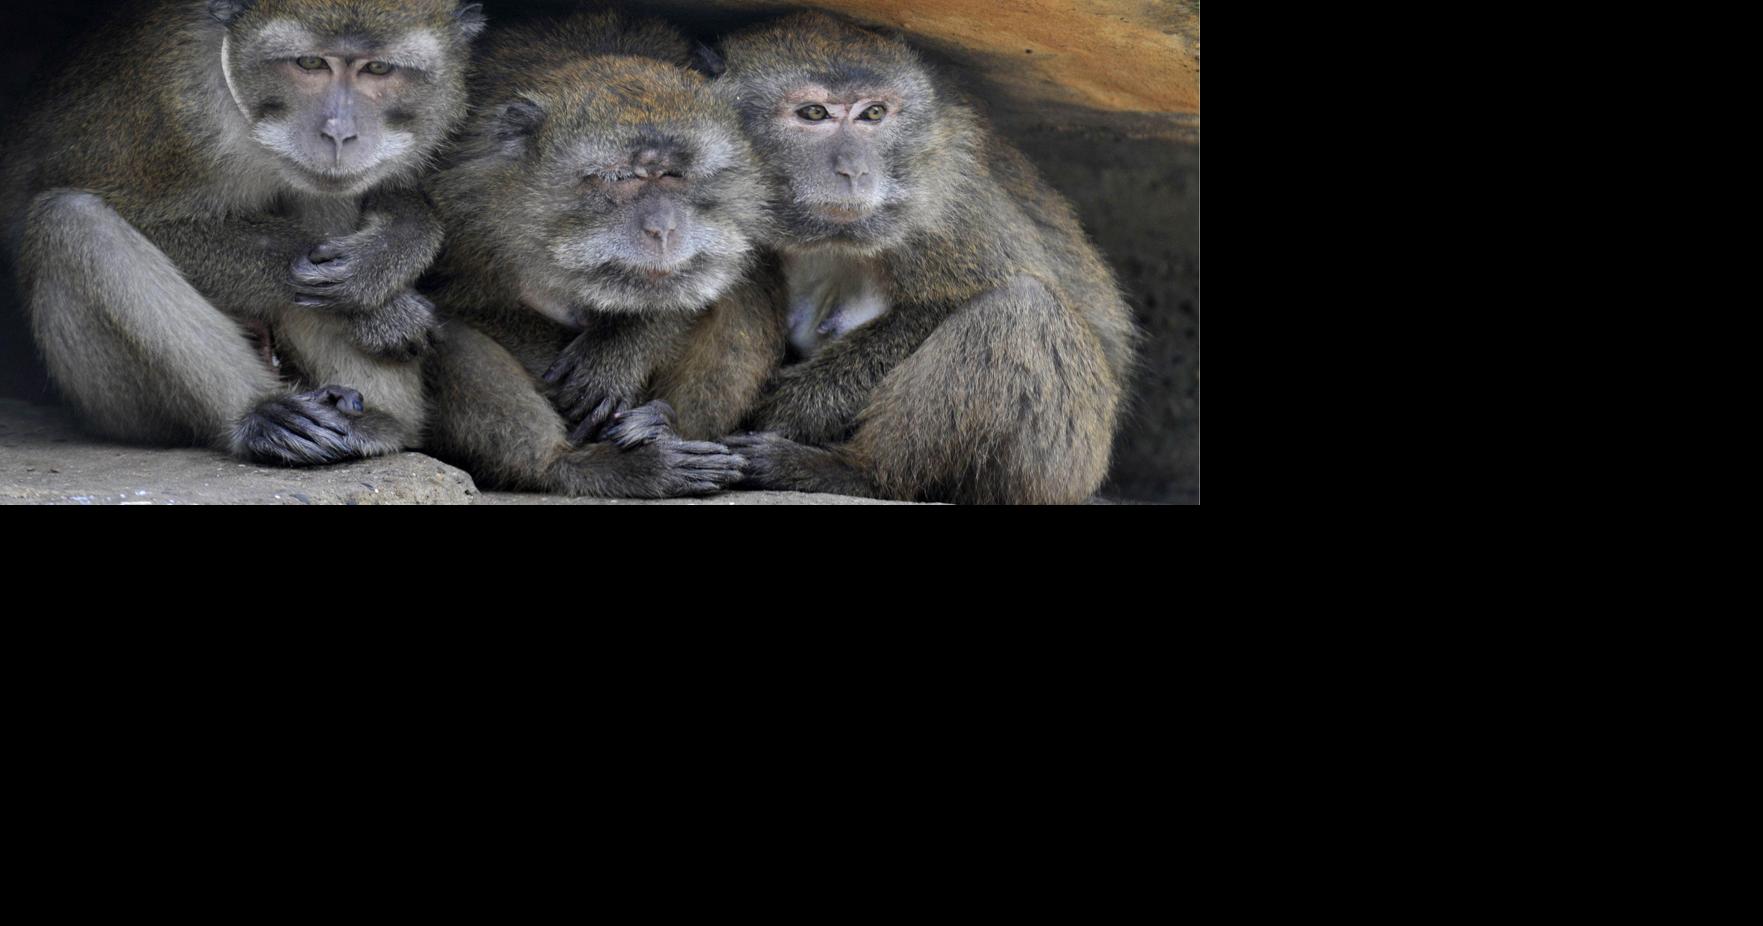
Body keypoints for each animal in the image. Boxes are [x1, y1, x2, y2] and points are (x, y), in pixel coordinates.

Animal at [0, 0, 486, 466]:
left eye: (378, 69)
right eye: (310, 63)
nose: (338, 134)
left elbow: (388, 193)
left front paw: (386, 256)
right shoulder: (172, 118)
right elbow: (146, 223)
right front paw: (376, 307)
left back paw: (383, 424)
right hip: (121, 410)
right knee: (71, 219)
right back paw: (261, 415)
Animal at [420, 11, 785, 498]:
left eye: (675, 175)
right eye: (619, 178)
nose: (663, 228)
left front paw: (618, 351)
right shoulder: (462, 202)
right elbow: (449, 301)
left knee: (745, 298)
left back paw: (663, 425)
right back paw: (582, 466)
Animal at [706, 12, 1141, 504]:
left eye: (873, 113)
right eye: (813, 113)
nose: (855, 170)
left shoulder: (943, 199)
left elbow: (944, 304)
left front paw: (785, 409)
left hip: (1069, 463)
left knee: (1021, 310)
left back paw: (855, 473)